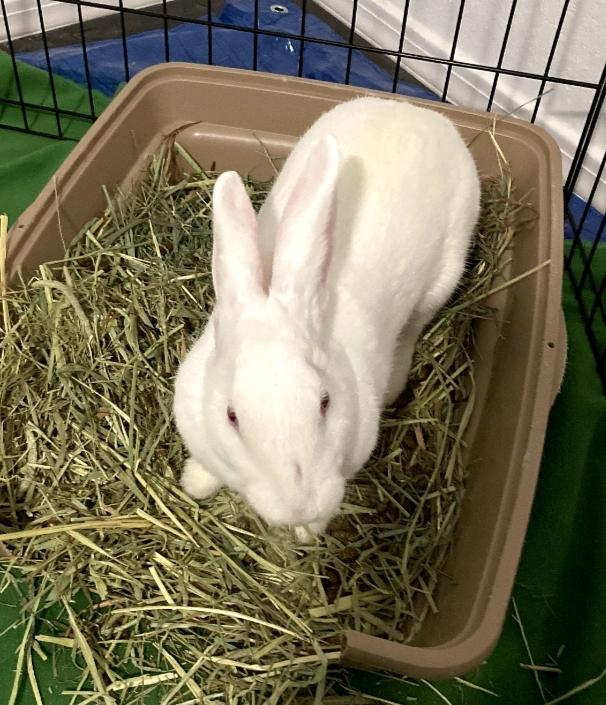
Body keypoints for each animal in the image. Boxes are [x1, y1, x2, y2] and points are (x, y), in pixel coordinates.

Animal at [173, 96, 481, 541]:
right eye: (232, 416)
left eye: (325, 401)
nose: (298, 507)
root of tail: (412, 109)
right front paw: (195, 483)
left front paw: (308, 532)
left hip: (446, 272)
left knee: (415, 326)